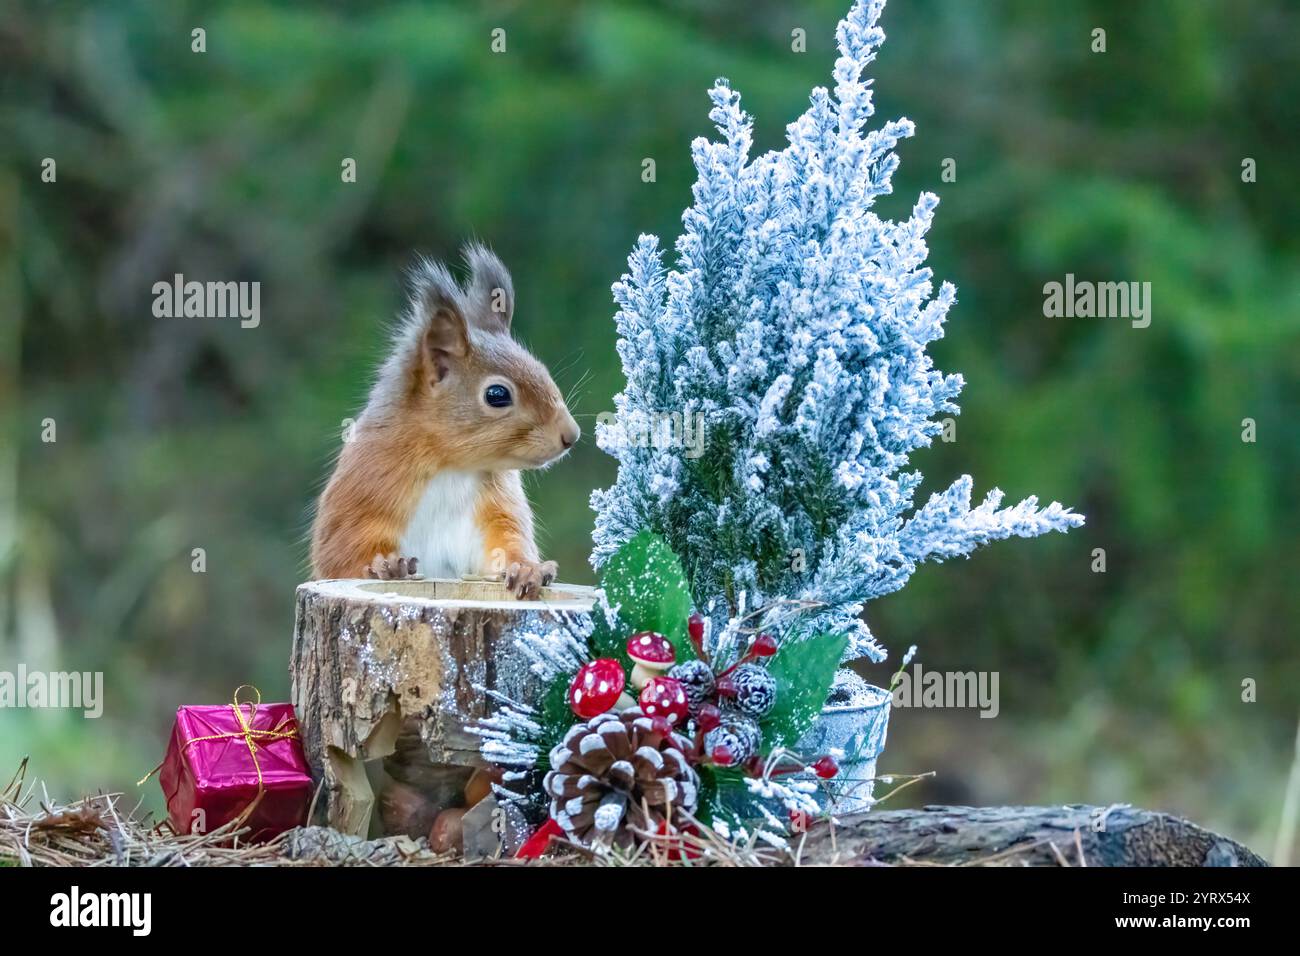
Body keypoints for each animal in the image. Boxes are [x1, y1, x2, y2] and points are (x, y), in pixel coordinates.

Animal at [310, 244, 579, 599]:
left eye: (541, 369)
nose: (571, 435)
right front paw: (385, 566)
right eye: (497, 394)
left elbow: (505, 543)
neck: (449, 466)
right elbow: (341, 555)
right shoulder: (365, 486)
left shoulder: (495, 507)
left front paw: (528, 569)